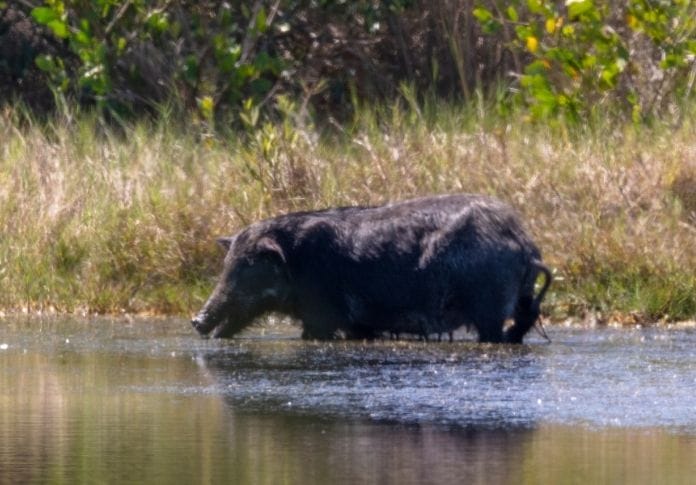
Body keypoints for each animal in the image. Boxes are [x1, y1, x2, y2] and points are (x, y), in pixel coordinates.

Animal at [191, 194, 552, 343]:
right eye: (227, 264)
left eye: (247, 267)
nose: (196, 320)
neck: (298, 263)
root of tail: (523, 243)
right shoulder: (358, 323)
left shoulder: (322, 313)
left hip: (488, 301)